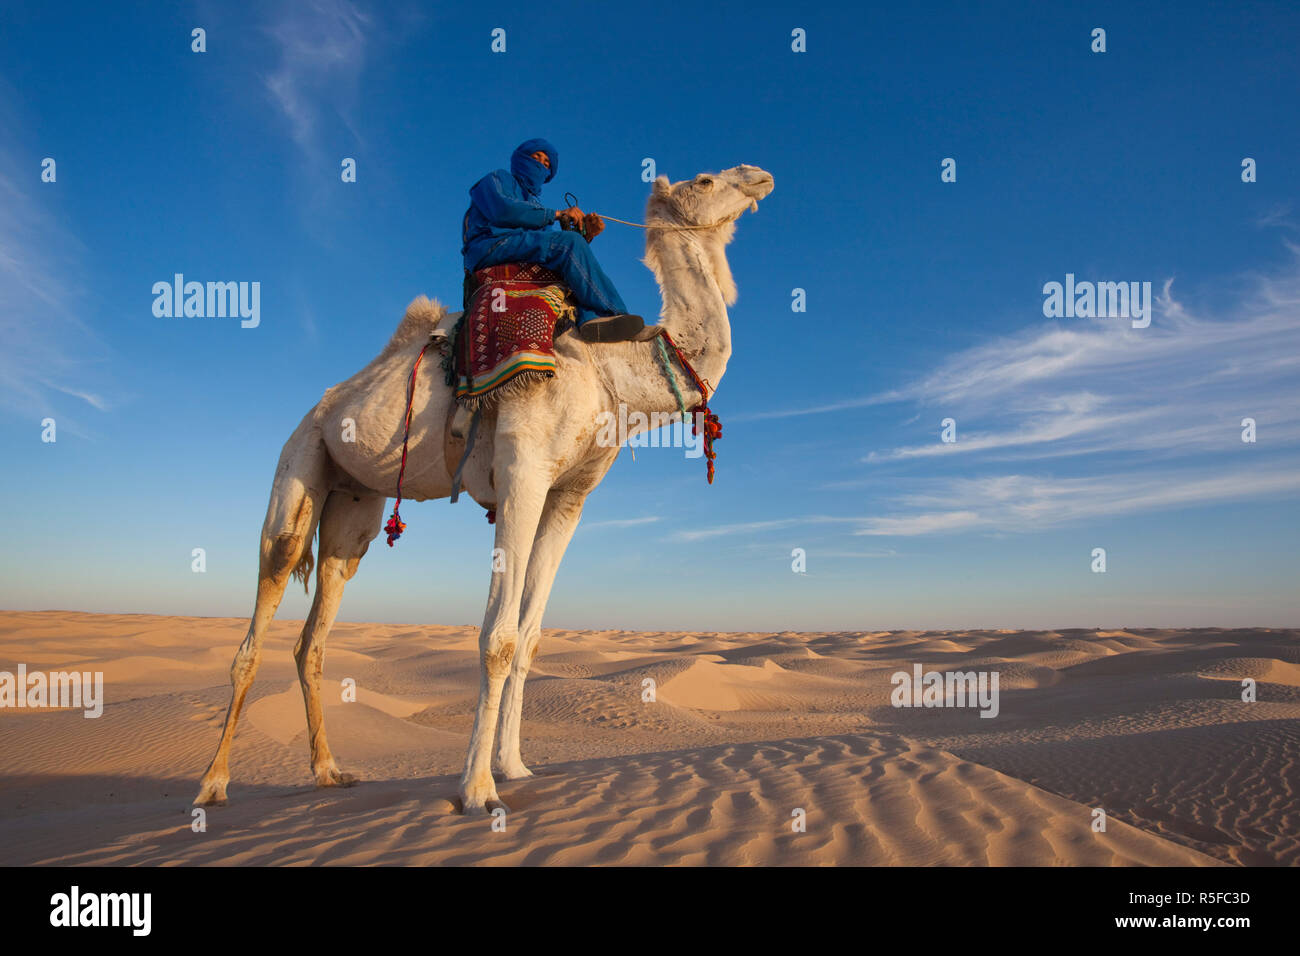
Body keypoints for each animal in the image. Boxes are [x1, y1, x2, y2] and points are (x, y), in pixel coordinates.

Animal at [193, 164, 774, 813]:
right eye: (705, 180)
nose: (759, 177)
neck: (611, 372)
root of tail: (319, 409)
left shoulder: (569, 497)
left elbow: (530, 639)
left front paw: (516, 766)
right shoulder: (523, 470)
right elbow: (497, 639)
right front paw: (477, 788)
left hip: (354, 504)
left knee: (317, 627)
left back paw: (328, 771)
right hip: (299, 459)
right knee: (271, 586)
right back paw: (213, 783)